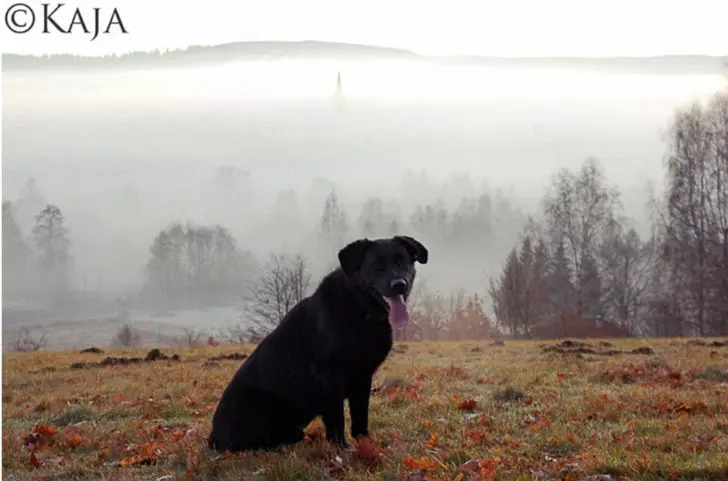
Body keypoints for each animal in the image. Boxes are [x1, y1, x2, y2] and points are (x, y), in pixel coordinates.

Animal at [208, 234, 426, 452]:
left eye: (402, 261)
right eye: (377, 265)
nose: (399, 284)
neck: (359, 309)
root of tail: (213, 437)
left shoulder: (363, 376)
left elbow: (360, 415)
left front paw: (365, 443)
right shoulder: (330, 376)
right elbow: (336, 417)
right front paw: (341, 447)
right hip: (263, 404)